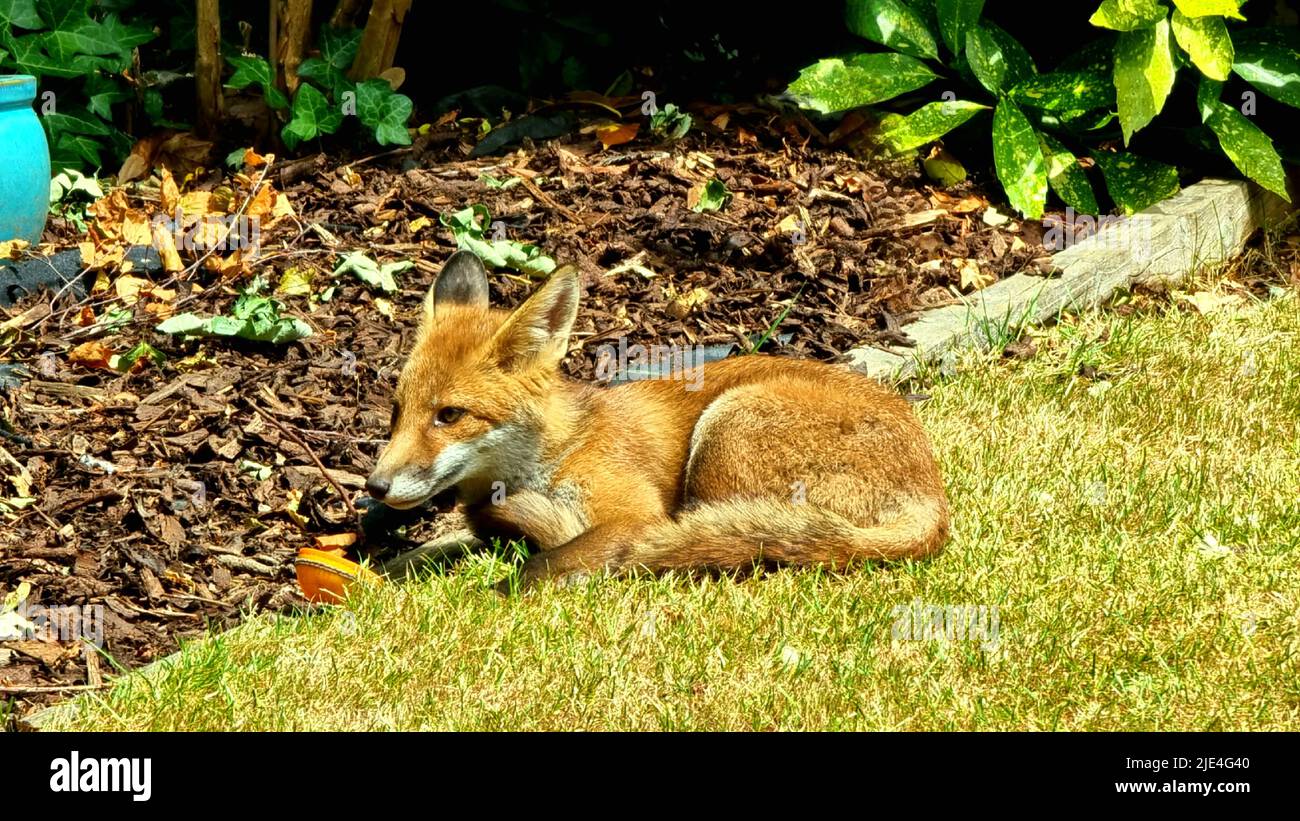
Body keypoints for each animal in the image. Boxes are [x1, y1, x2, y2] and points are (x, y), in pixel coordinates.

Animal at [366, 250, 949, 586]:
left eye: (449, 415)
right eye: (396, 411)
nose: (374, 486)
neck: (553, 455)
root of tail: (934, 502)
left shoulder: (636, 514)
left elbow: (548, 561)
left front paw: (505, 587)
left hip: (724, 432)